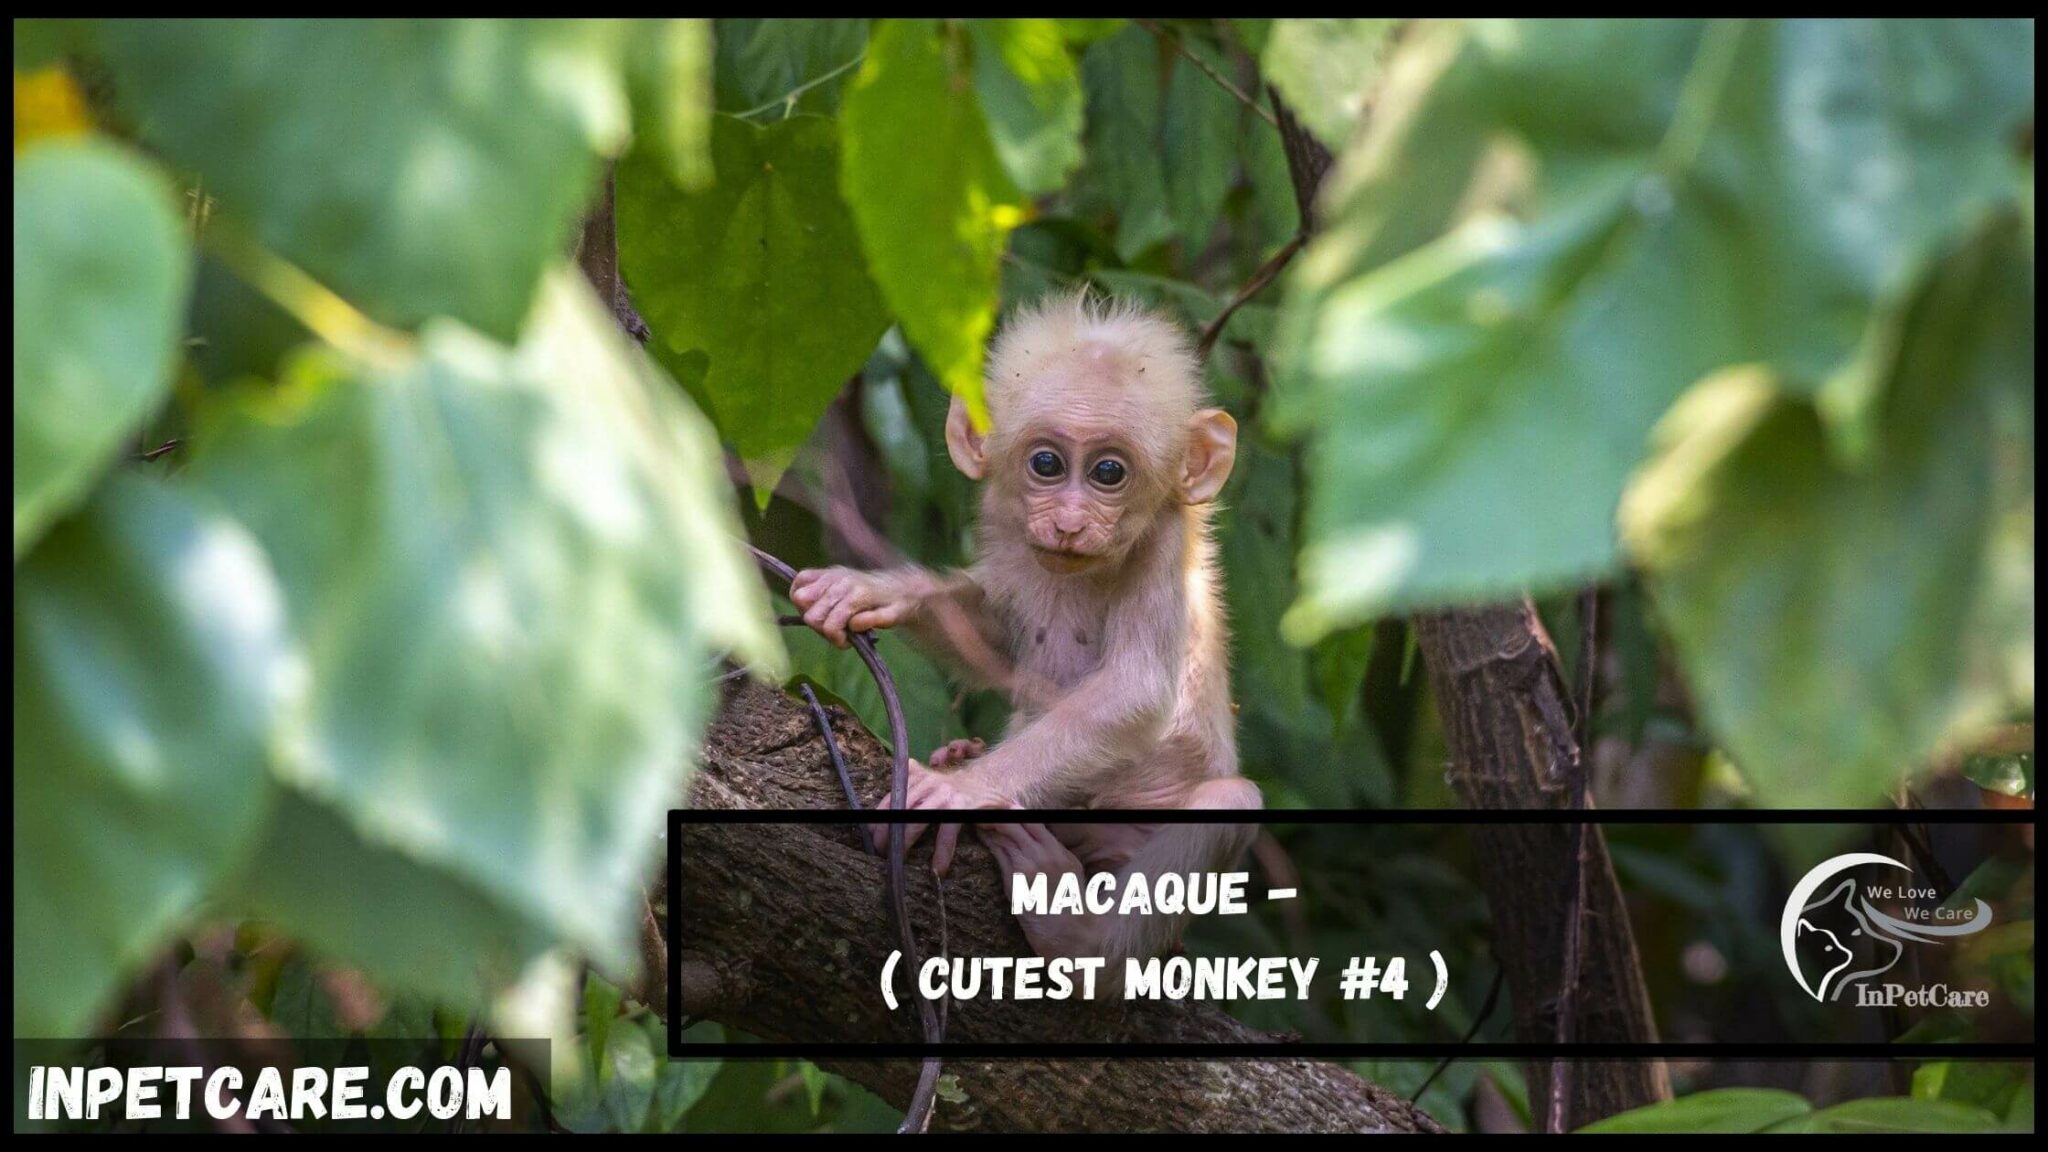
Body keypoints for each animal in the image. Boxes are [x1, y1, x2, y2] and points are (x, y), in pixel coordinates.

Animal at [789, 291, 1260, 974]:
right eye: (1046, 463)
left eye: (1109, 473)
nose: (1068, 523)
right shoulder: (1010, 528)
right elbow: (996, 639)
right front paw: (873, 592)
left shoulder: (1166, 543)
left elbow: (1139, 689)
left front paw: (961, 790)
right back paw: (960, 752)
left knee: (1231, 802)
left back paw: (1079, 940)